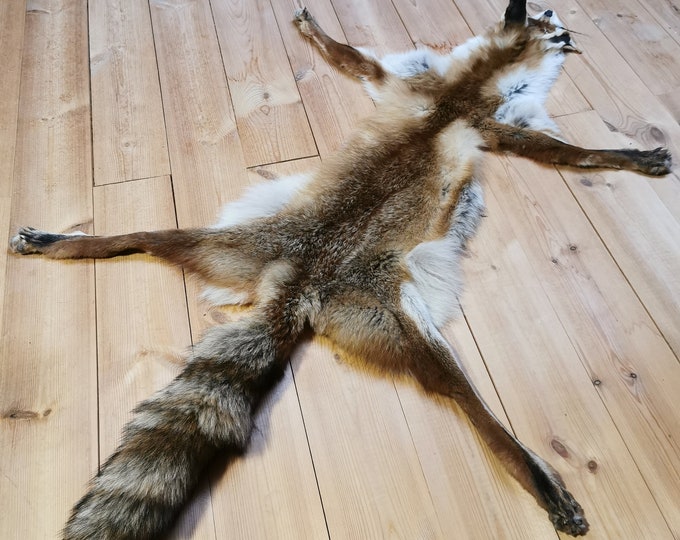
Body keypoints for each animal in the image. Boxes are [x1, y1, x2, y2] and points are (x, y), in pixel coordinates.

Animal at [9, 1, 672, 538]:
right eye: (546, 20)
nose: (568, 21)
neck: (471, 85)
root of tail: (299, 284)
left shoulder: (409, 86)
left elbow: (352, 59)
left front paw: (316, 32)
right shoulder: (470, 112)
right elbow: (569, 151)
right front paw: (630, 156)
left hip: (217, 243)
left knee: (144, 238)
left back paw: (67, 242)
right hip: (407, 325)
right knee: (468, 401)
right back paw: (535, 475)